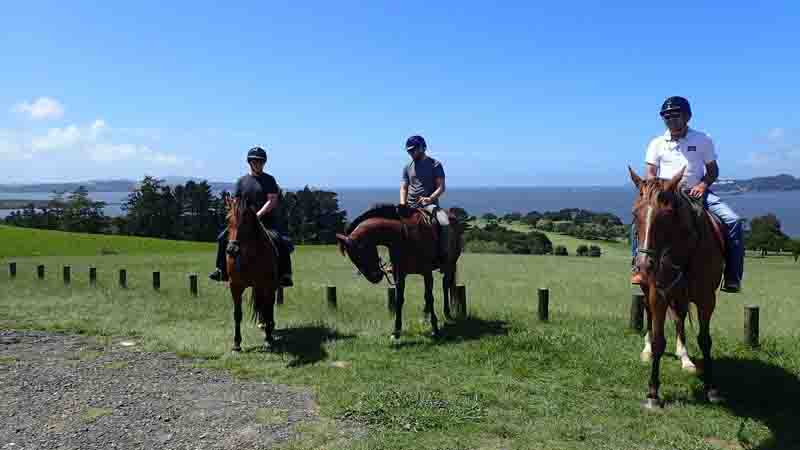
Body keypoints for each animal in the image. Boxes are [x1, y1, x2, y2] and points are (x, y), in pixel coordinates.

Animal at [225, 196, 281, 352]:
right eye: (228, 219)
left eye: (246, 220)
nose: (232, 250)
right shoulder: (235, 286)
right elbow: (237, 314)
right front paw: (236, 343)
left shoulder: (267, 286)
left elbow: (267, 309)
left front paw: (268, 339)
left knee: (269, 308)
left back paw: (269, 328)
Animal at [335, 204, 463, 340]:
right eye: (353, 258)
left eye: (362, 252)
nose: (375, 277)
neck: (405, 236)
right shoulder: (400, 274)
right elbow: (399, 300)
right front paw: (396, 331)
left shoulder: (427, 272)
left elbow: (429, 297)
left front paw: (435, 328)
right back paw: (425, 316)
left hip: (450, 265)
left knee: (445, 286)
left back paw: (447, 313)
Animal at [629, 166, 725, 408]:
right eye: (635, 214)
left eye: (668, 215)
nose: (643, 266)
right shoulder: (659, 294)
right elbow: (658, 340)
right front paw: (653, 393)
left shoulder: (707, 299)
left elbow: (705, 340)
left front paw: (711, 388)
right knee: (650, 315)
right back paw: (647, 350)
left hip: (682, 295)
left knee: (680, 319)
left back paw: (686, 358)